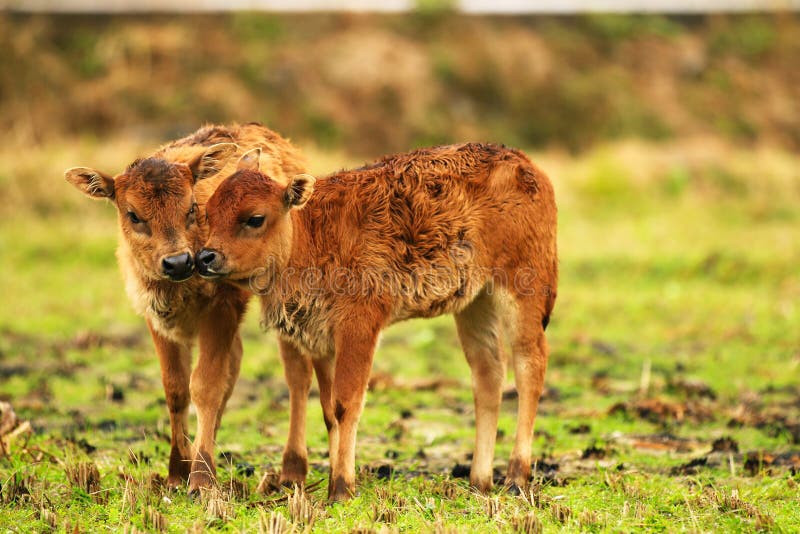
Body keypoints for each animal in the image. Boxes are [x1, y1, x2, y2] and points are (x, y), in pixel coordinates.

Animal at [64, 123, 307, 494]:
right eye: (133, 215)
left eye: (192, 207)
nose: (178, 262)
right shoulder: (156, 318)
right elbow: (176, 389)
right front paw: (178, 470)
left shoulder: (221, 309)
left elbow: (205, 385)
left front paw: (202, 478)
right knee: (235, 367)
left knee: (296, 375)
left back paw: (292, 470)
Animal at [197, 143, 558, 501]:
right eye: (208, 213)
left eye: (255, 218)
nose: (205, 257)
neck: (308, 234)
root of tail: (528, 167)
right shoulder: (320, 339)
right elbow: (328, 410)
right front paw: (334, 478)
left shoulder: (359, 327)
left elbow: (346, 404)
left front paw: (341, 488)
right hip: (475, 302)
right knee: (488, 374)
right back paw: (478, 480)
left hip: (520, 293)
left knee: (530, 366)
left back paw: (515, 477)